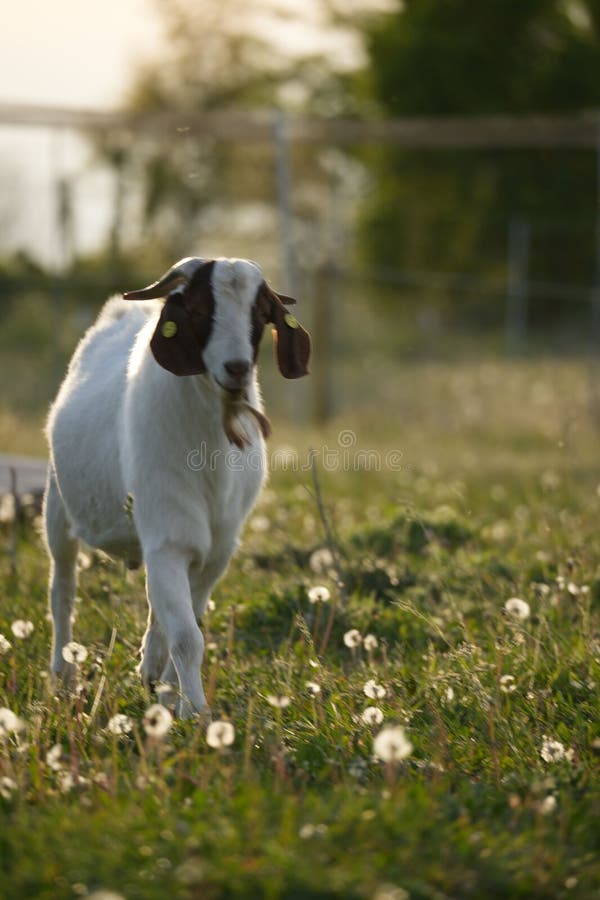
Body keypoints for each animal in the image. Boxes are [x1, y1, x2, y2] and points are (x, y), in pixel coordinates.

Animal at [44, 257, 311, 717]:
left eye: (260, 313)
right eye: (200, 310)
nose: (237, 368)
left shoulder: (215, 550)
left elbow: (188, 621)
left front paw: (170, 692)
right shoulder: (169, 538)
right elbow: (187, 637)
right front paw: (195, 712)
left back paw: (150, 671)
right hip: (57, 511)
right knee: (62, 592)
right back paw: (64, 674)